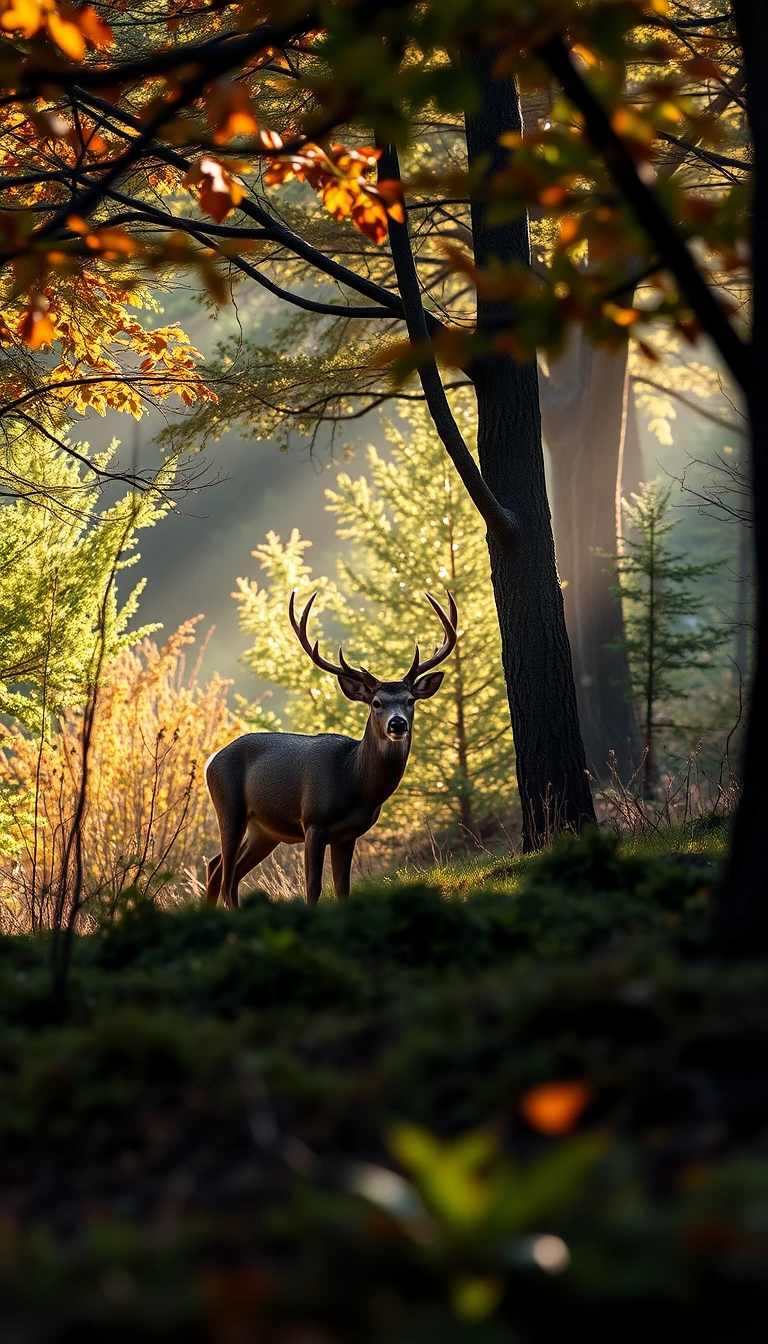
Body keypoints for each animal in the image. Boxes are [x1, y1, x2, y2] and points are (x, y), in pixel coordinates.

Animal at [204, 589, 458, 908]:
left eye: (410, 700)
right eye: (376, 703)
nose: (397, 724)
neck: (353, 781)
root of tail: (211, 761)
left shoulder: (348, 834)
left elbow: (342, 887)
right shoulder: (313, 822)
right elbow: (313, 886)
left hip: (264, 830)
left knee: (219, 868)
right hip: (229, 806)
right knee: (225, 876)